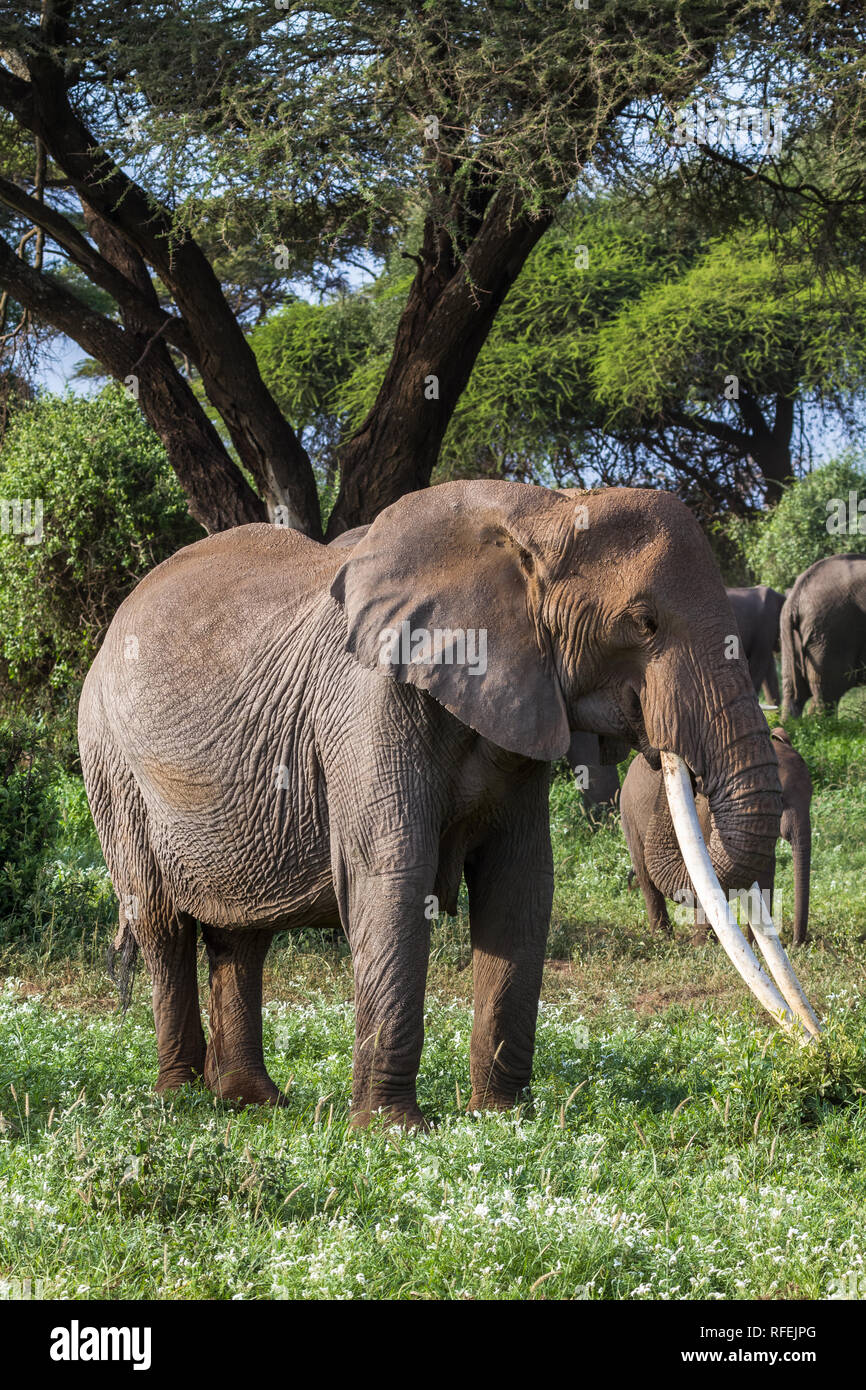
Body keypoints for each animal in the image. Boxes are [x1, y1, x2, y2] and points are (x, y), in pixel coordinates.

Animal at [621, 726, 813, 945]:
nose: (797, 944)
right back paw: (664, 939)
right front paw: (702, 947)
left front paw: (754, 945)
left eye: (811, 795)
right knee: (646, 878)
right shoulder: (704, 812)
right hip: (628, 814)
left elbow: (763, 871)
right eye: (780, 799)